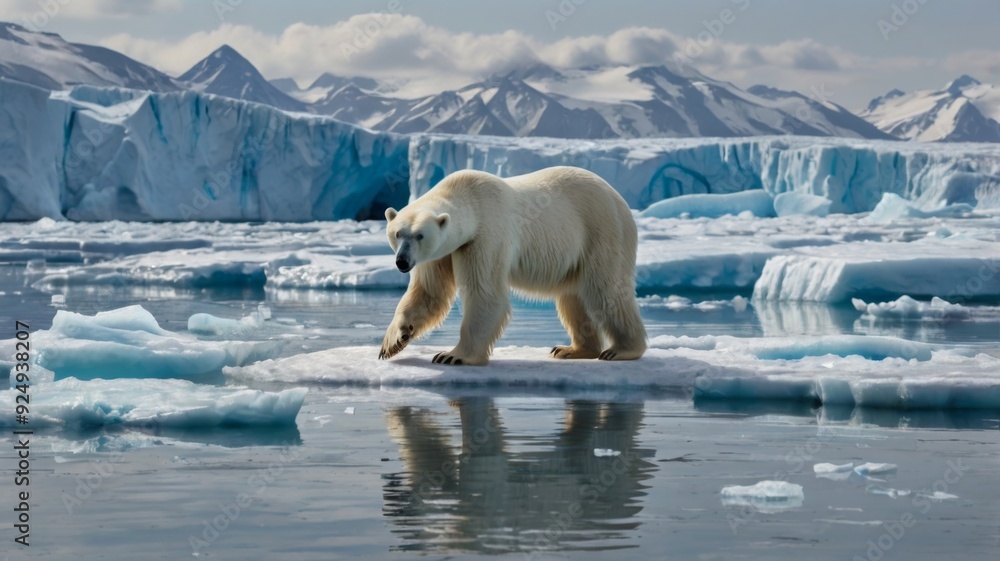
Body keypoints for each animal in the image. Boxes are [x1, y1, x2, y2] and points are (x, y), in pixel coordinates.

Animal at [378, 166, 647, 366]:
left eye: (420, 235)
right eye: (398, 233)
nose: (402, 261)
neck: (468, 195)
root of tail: (618, 198)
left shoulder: (486, 234)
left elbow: (484, 293)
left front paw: (452, 355)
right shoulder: (443, 251)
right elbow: (429, 292)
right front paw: (393, 341)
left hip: (602, 230)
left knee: (606, 290)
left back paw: (621, 350)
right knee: (573, 298)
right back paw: (572, 350)